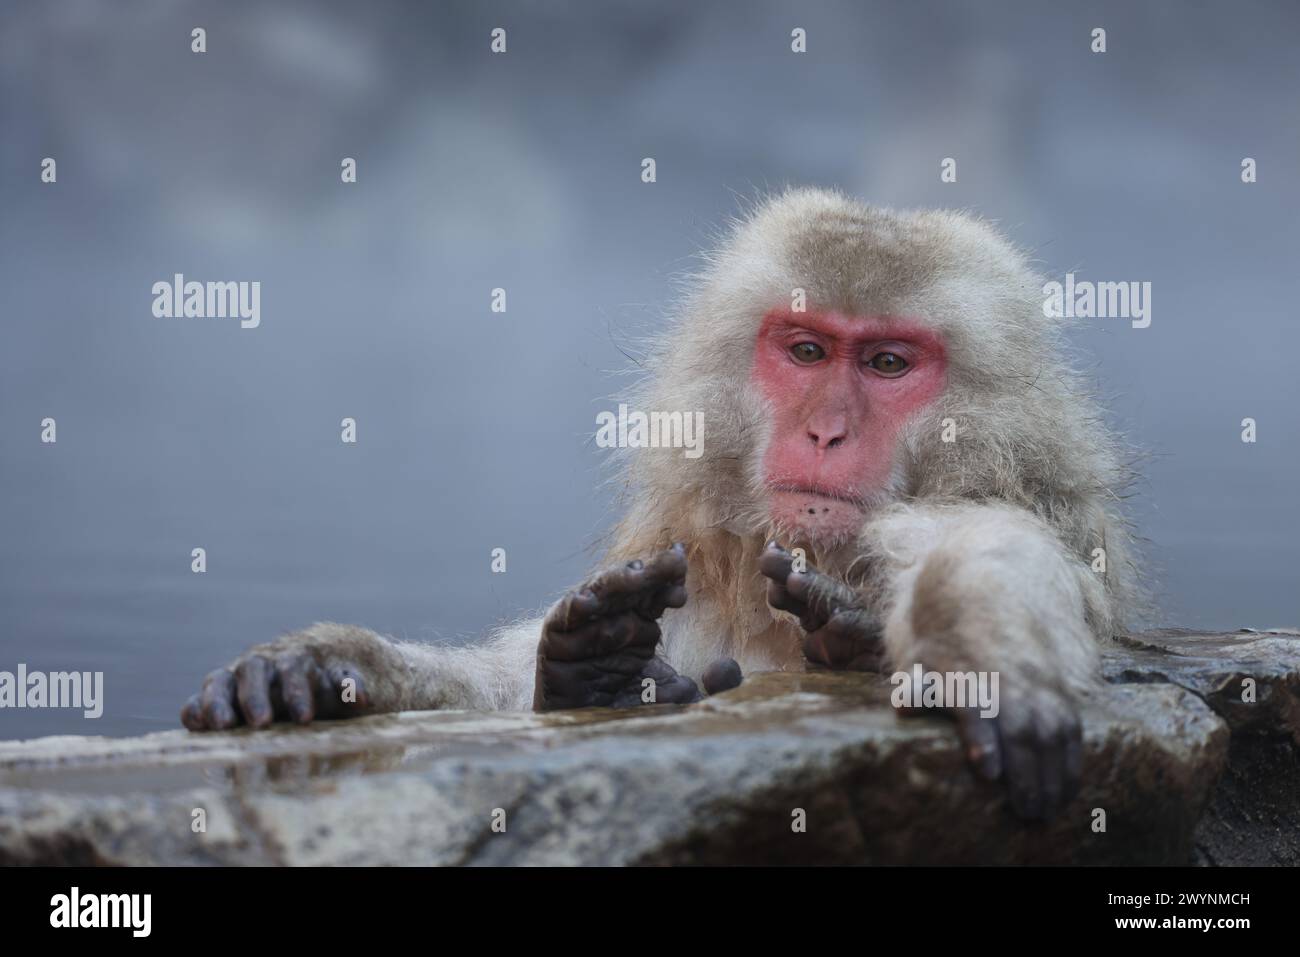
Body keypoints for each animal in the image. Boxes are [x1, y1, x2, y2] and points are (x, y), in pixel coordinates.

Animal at [181, 187, 1139, 821]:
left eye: (888, 364)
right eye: (806, 348)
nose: (825, 430)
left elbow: (995, 542)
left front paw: (986, 651)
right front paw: (338, 664)